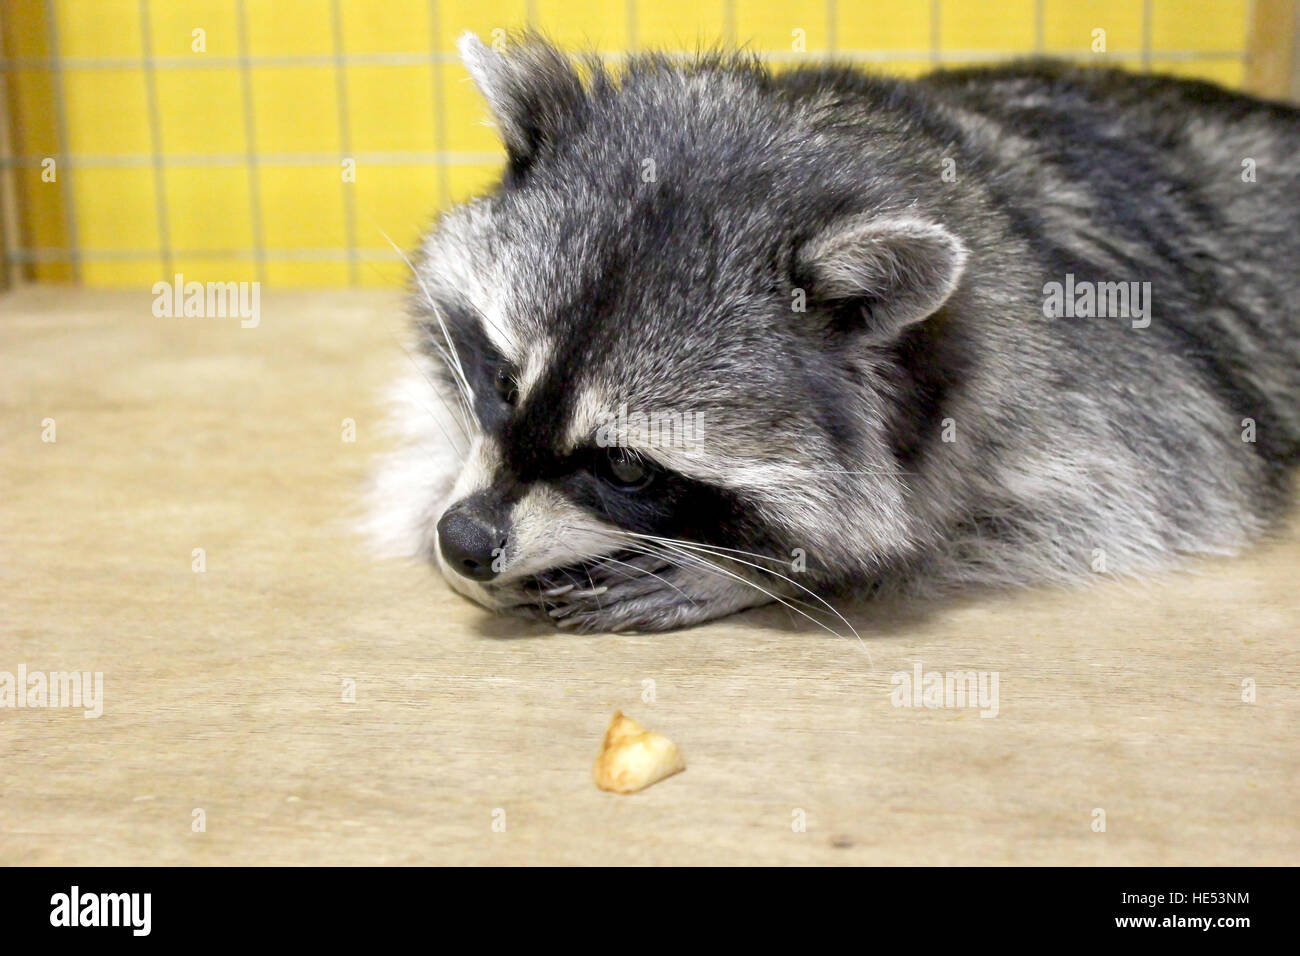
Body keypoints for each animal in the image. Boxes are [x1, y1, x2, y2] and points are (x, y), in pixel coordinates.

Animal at [367, 33, 1300, 633]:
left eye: (628, 466)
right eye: (501, 383)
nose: (465, 542)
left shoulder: (1115, 406)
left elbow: (1095, 507)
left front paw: (769, 572)